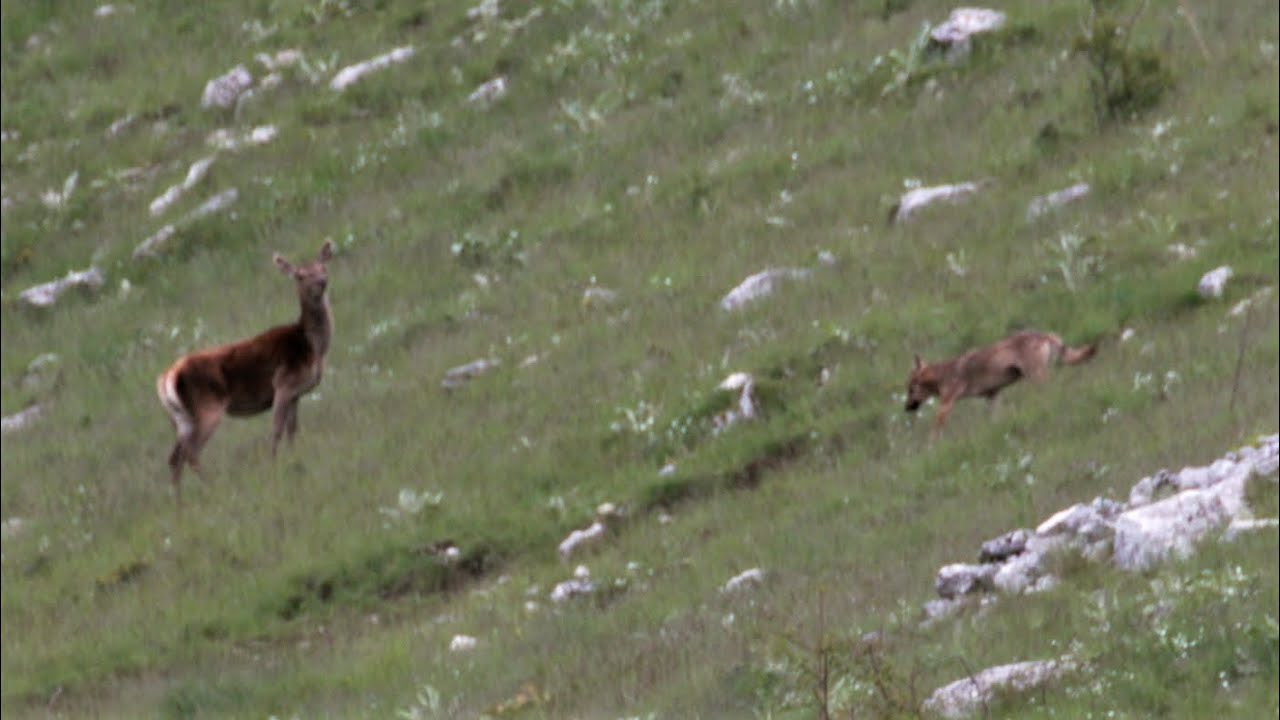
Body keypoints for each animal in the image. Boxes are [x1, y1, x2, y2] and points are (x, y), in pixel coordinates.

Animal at [156, 240, 334, 503]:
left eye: (322, 266)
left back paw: (179, 503)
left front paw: (295, 458)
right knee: (191, 453)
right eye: (300, 275)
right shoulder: (284, 384)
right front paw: (274, 466)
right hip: (208, 407)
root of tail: (167, 377)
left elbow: (292, 430)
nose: (322, 281)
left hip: (181, 418)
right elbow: (276, 430)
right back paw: (212, 488)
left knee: (173, 457)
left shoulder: (296, 394)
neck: (312, 346)